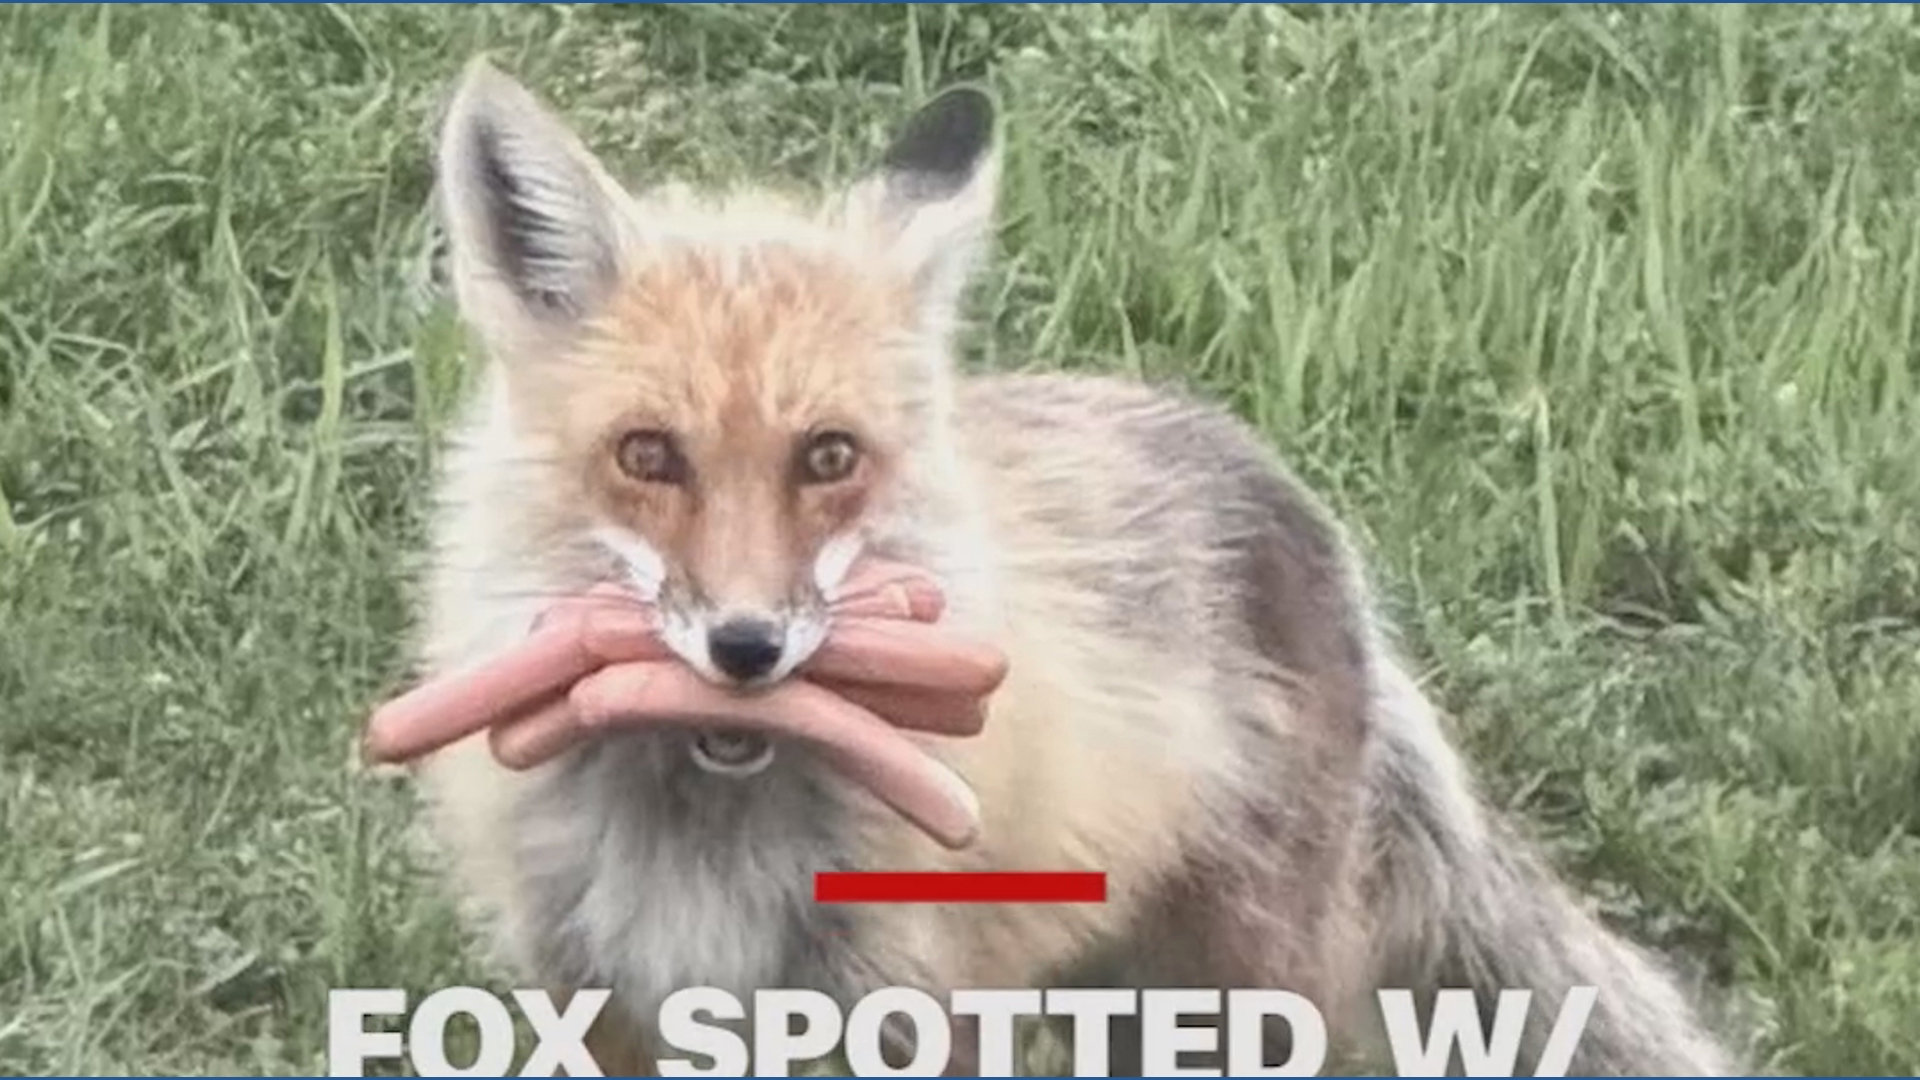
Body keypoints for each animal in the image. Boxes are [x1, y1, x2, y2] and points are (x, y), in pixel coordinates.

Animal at [402, 56, 1739, 1077]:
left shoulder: (908, 1000)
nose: (744, 649)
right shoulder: (602, 1001)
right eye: (648, 455)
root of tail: (1280, 485)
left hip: (1237, 986)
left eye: (830, 457)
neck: (703, 831)